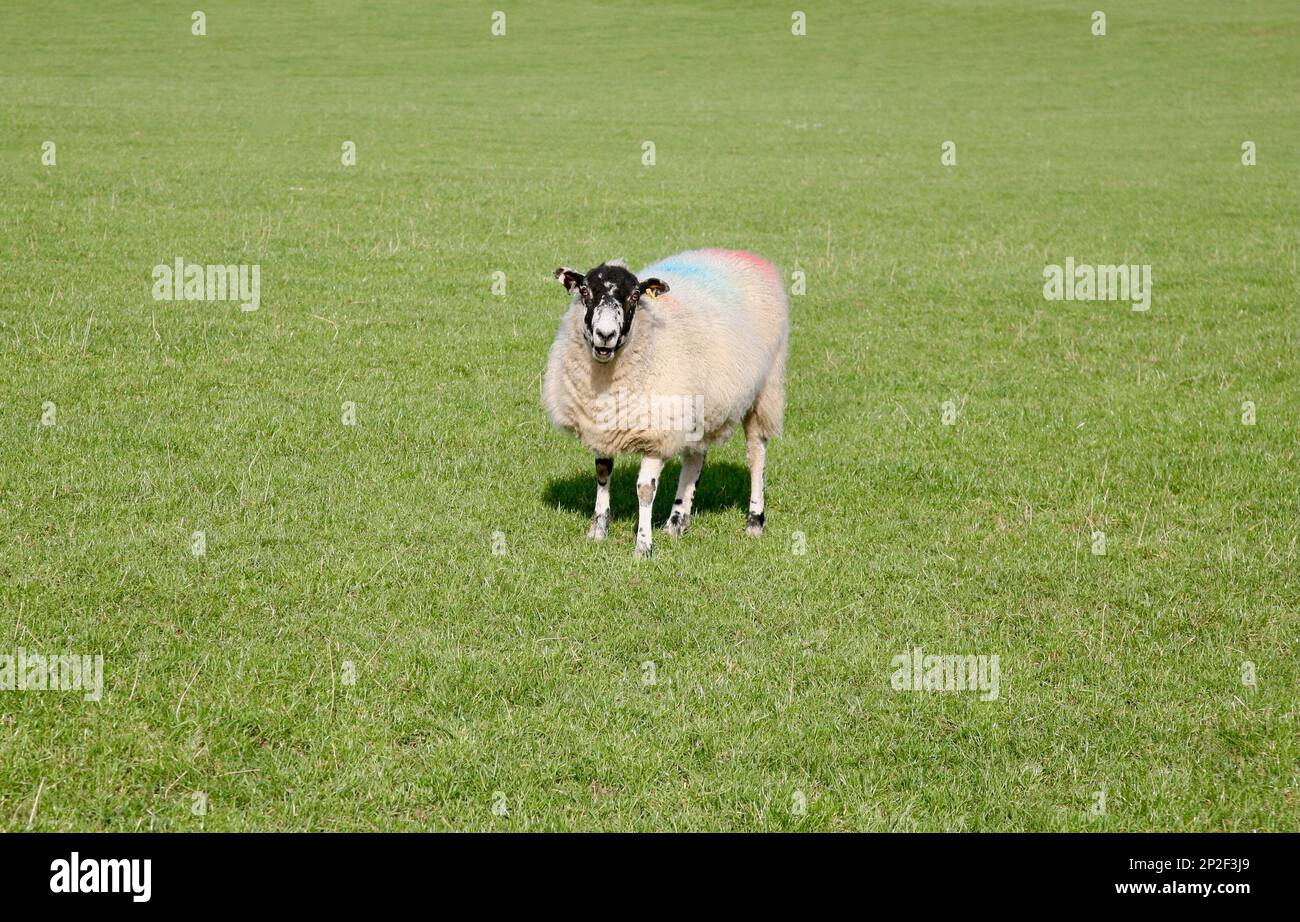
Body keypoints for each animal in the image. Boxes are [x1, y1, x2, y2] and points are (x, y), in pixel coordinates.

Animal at [542, 248, 789, 558]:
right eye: (585, 291)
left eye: (635, 296)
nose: (605, 335)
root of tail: (747, 256)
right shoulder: (601, 424)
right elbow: (602, 473)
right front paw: (598, 531)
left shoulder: (656, 432)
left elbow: (645, 489)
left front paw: (643, 546)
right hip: (698, 406)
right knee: (695, 458)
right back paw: (677, 522)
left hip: (765, 389)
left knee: (756, 455)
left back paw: (754, 521)